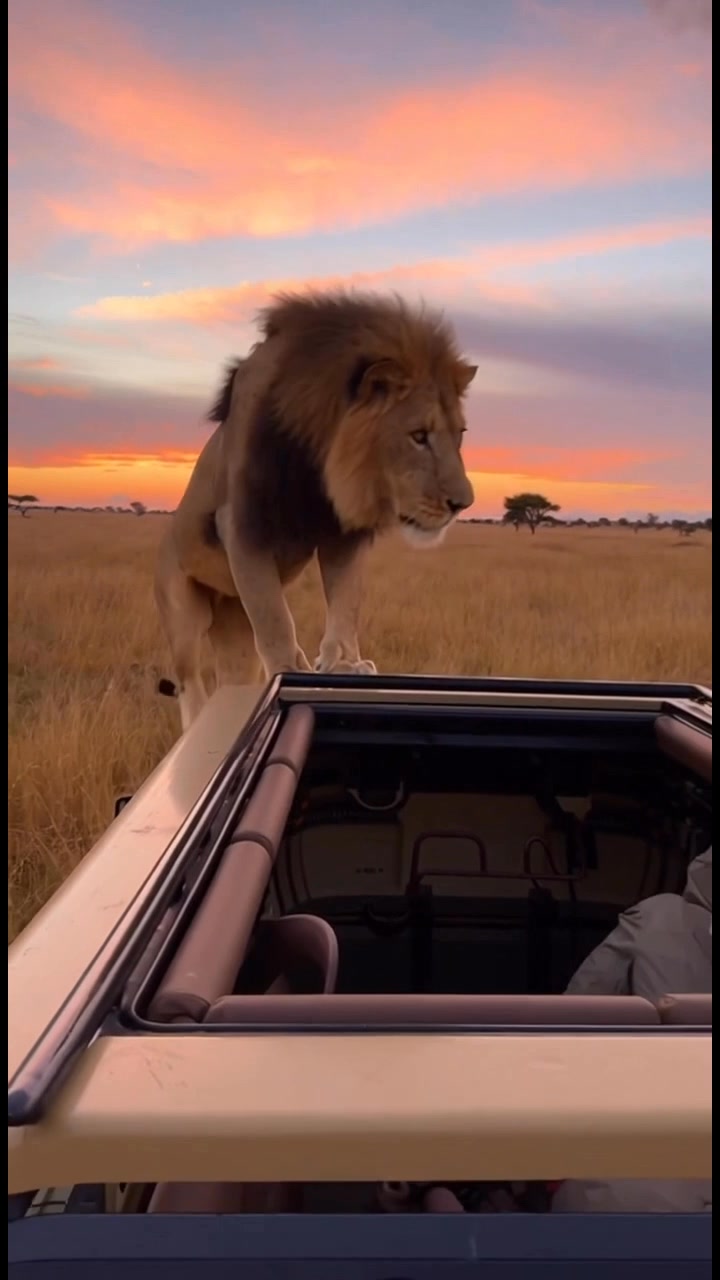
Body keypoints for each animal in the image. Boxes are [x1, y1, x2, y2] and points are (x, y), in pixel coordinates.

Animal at [155, 288, 476, 731]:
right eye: (418, 435)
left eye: (460, 433)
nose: (463, 503)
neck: (321, 465)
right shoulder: (242, 524)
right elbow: (275, 618)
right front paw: (289, 668)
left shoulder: (342, 532)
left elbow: (345, 600)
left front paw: (345, 664)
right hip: (184, 611)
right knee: (190, 682)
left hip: (234, 623)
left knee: (232, 672)